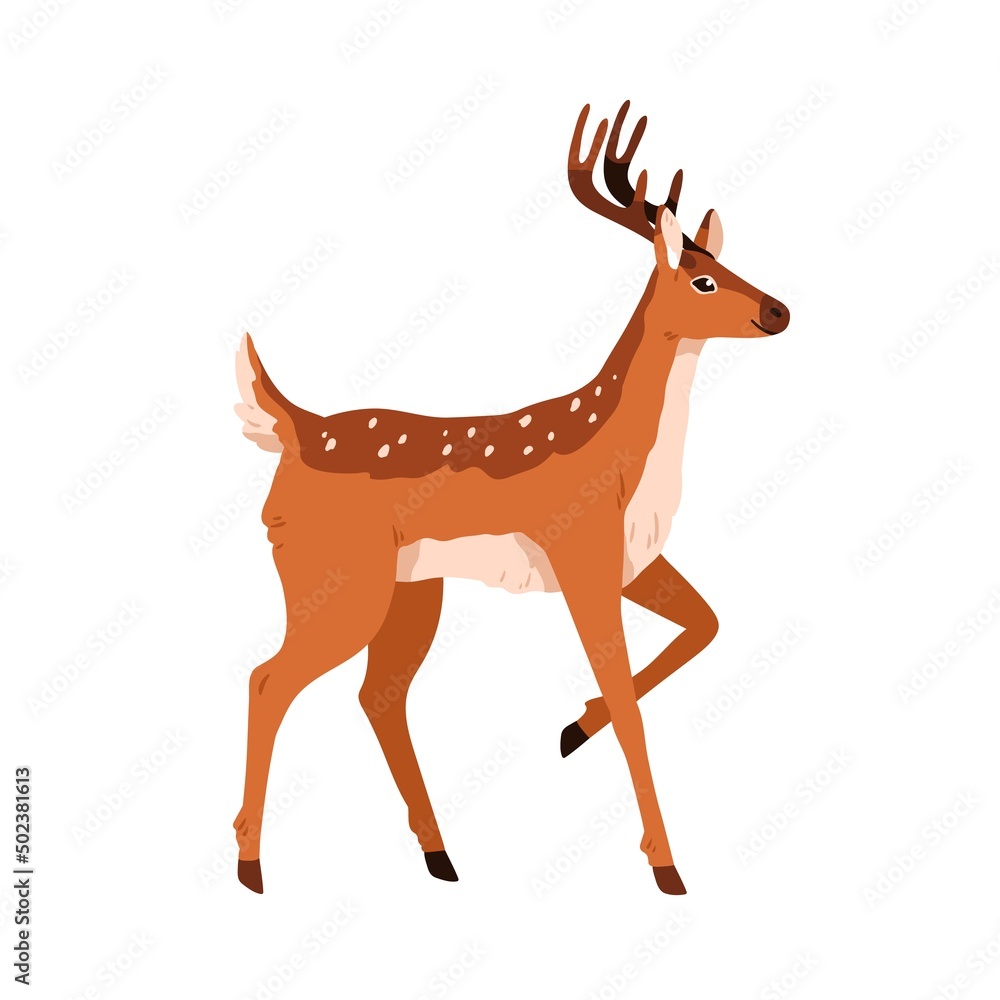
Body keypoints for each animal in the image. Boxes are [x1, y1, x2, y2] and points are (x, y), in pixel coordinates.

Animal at [231, 101, 789, 896]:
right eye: (703, 282)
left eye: (728, 264)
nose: (779, 311)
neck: (623, 461)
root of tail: (291, 429)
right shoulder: (582, 552)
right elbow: (629, 698)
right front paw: (666, 866)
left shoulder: (633, 560)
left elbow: (706, 625)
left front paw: (572, 730)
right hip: (335, 575)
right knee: (268, 678)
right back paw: (252, 865)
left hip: (411, 588)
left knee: (378, 694)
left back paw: (440, 857)